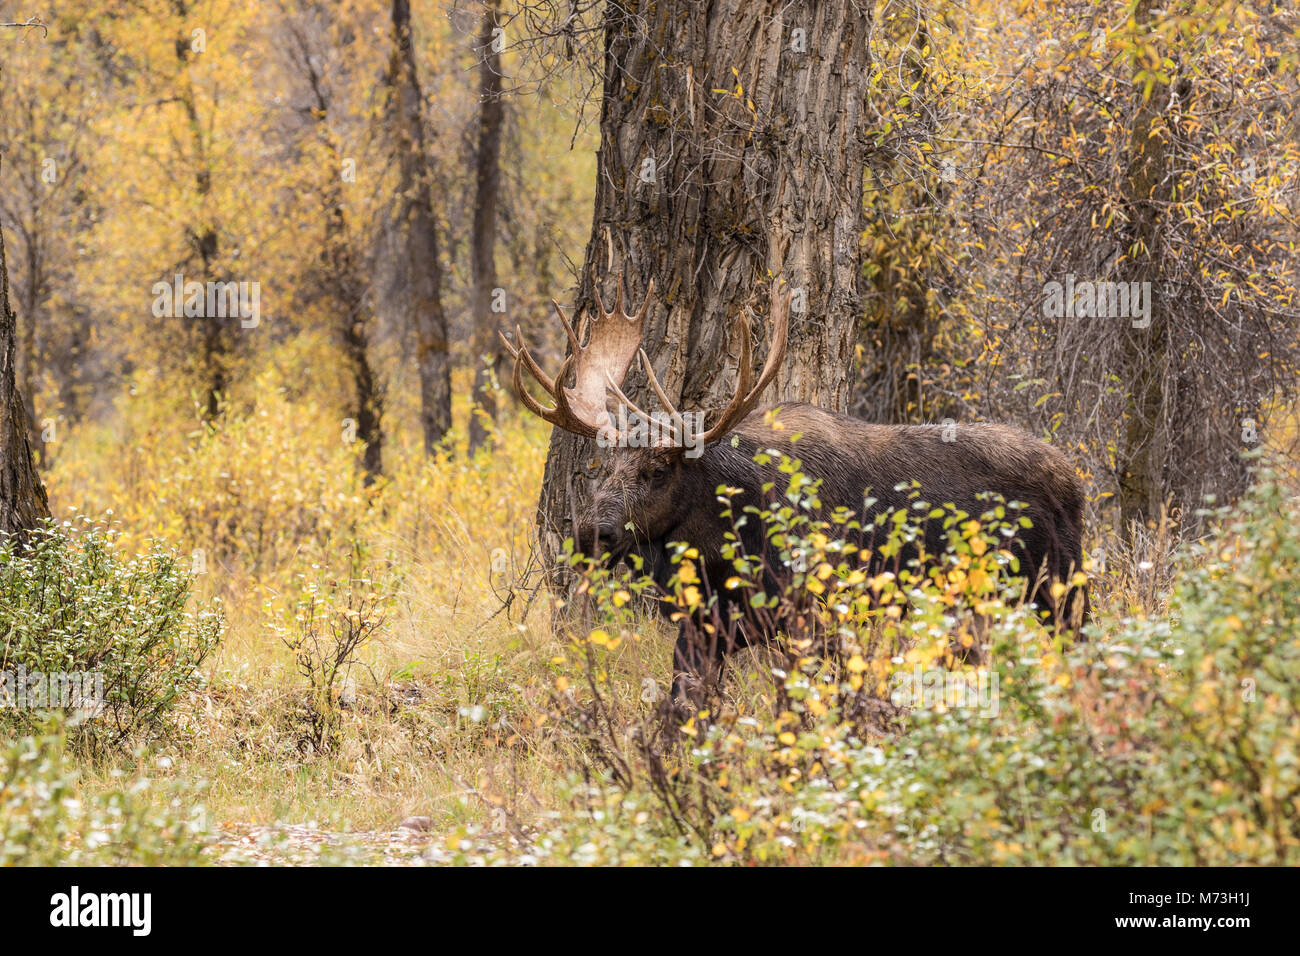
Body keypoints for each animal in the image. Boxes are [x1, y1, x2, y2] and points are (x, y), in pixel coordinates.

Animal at [502, 277, 1089, 703]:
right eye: (604, 466)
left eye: (659, 468)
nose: (589, 533)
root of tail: (1074, 481)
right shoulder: (706, 629)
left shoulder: (818, 612)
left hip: (1058, 591)